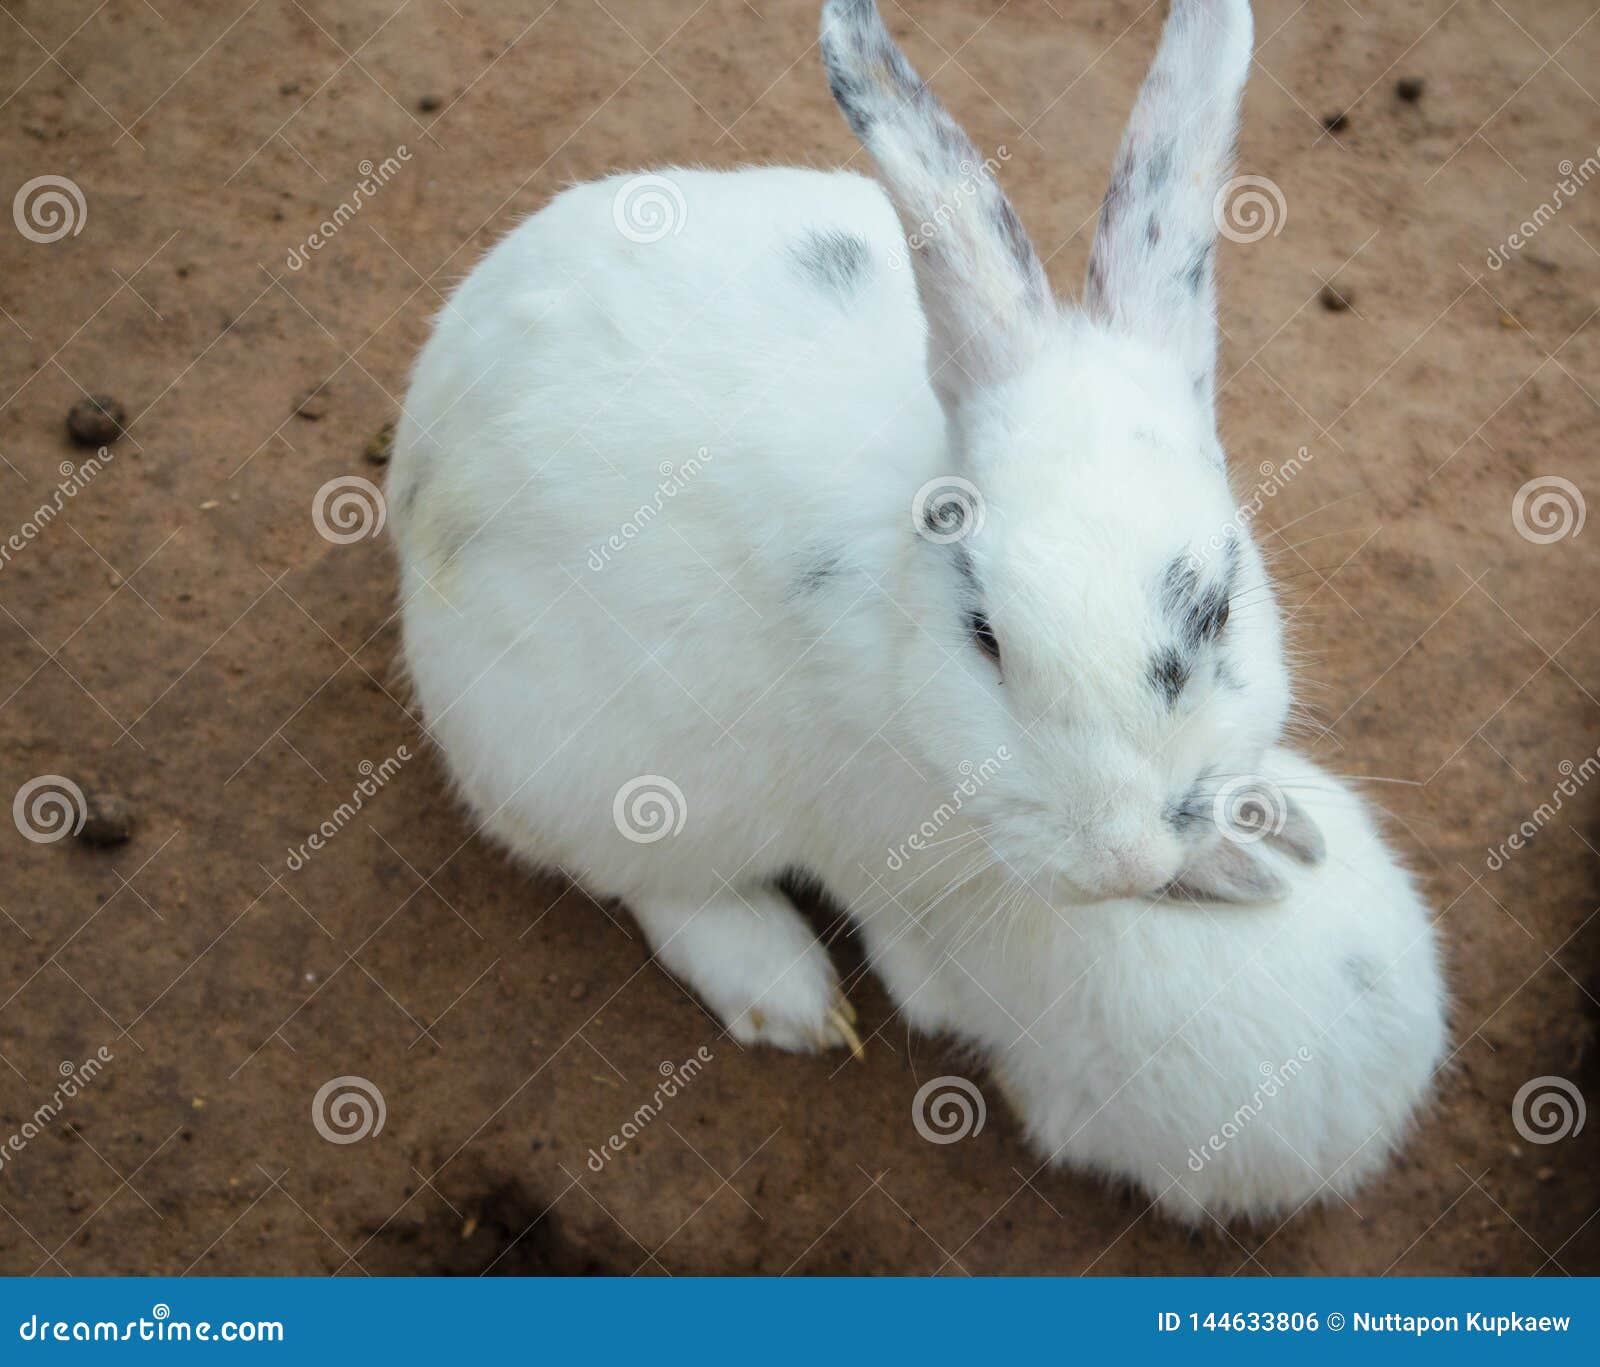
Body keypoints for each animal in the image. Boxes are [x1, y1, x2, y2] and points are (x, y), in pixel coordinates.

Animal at [389, 0, 1319, 1056]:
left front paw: (1269, 824)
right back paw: (789, 996)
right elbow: (888, 920)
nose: (1119, 861)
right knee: (656, 883)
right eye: (985, 638)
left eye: (1218, 614)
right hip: (580, 762)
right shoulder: (855, 825)